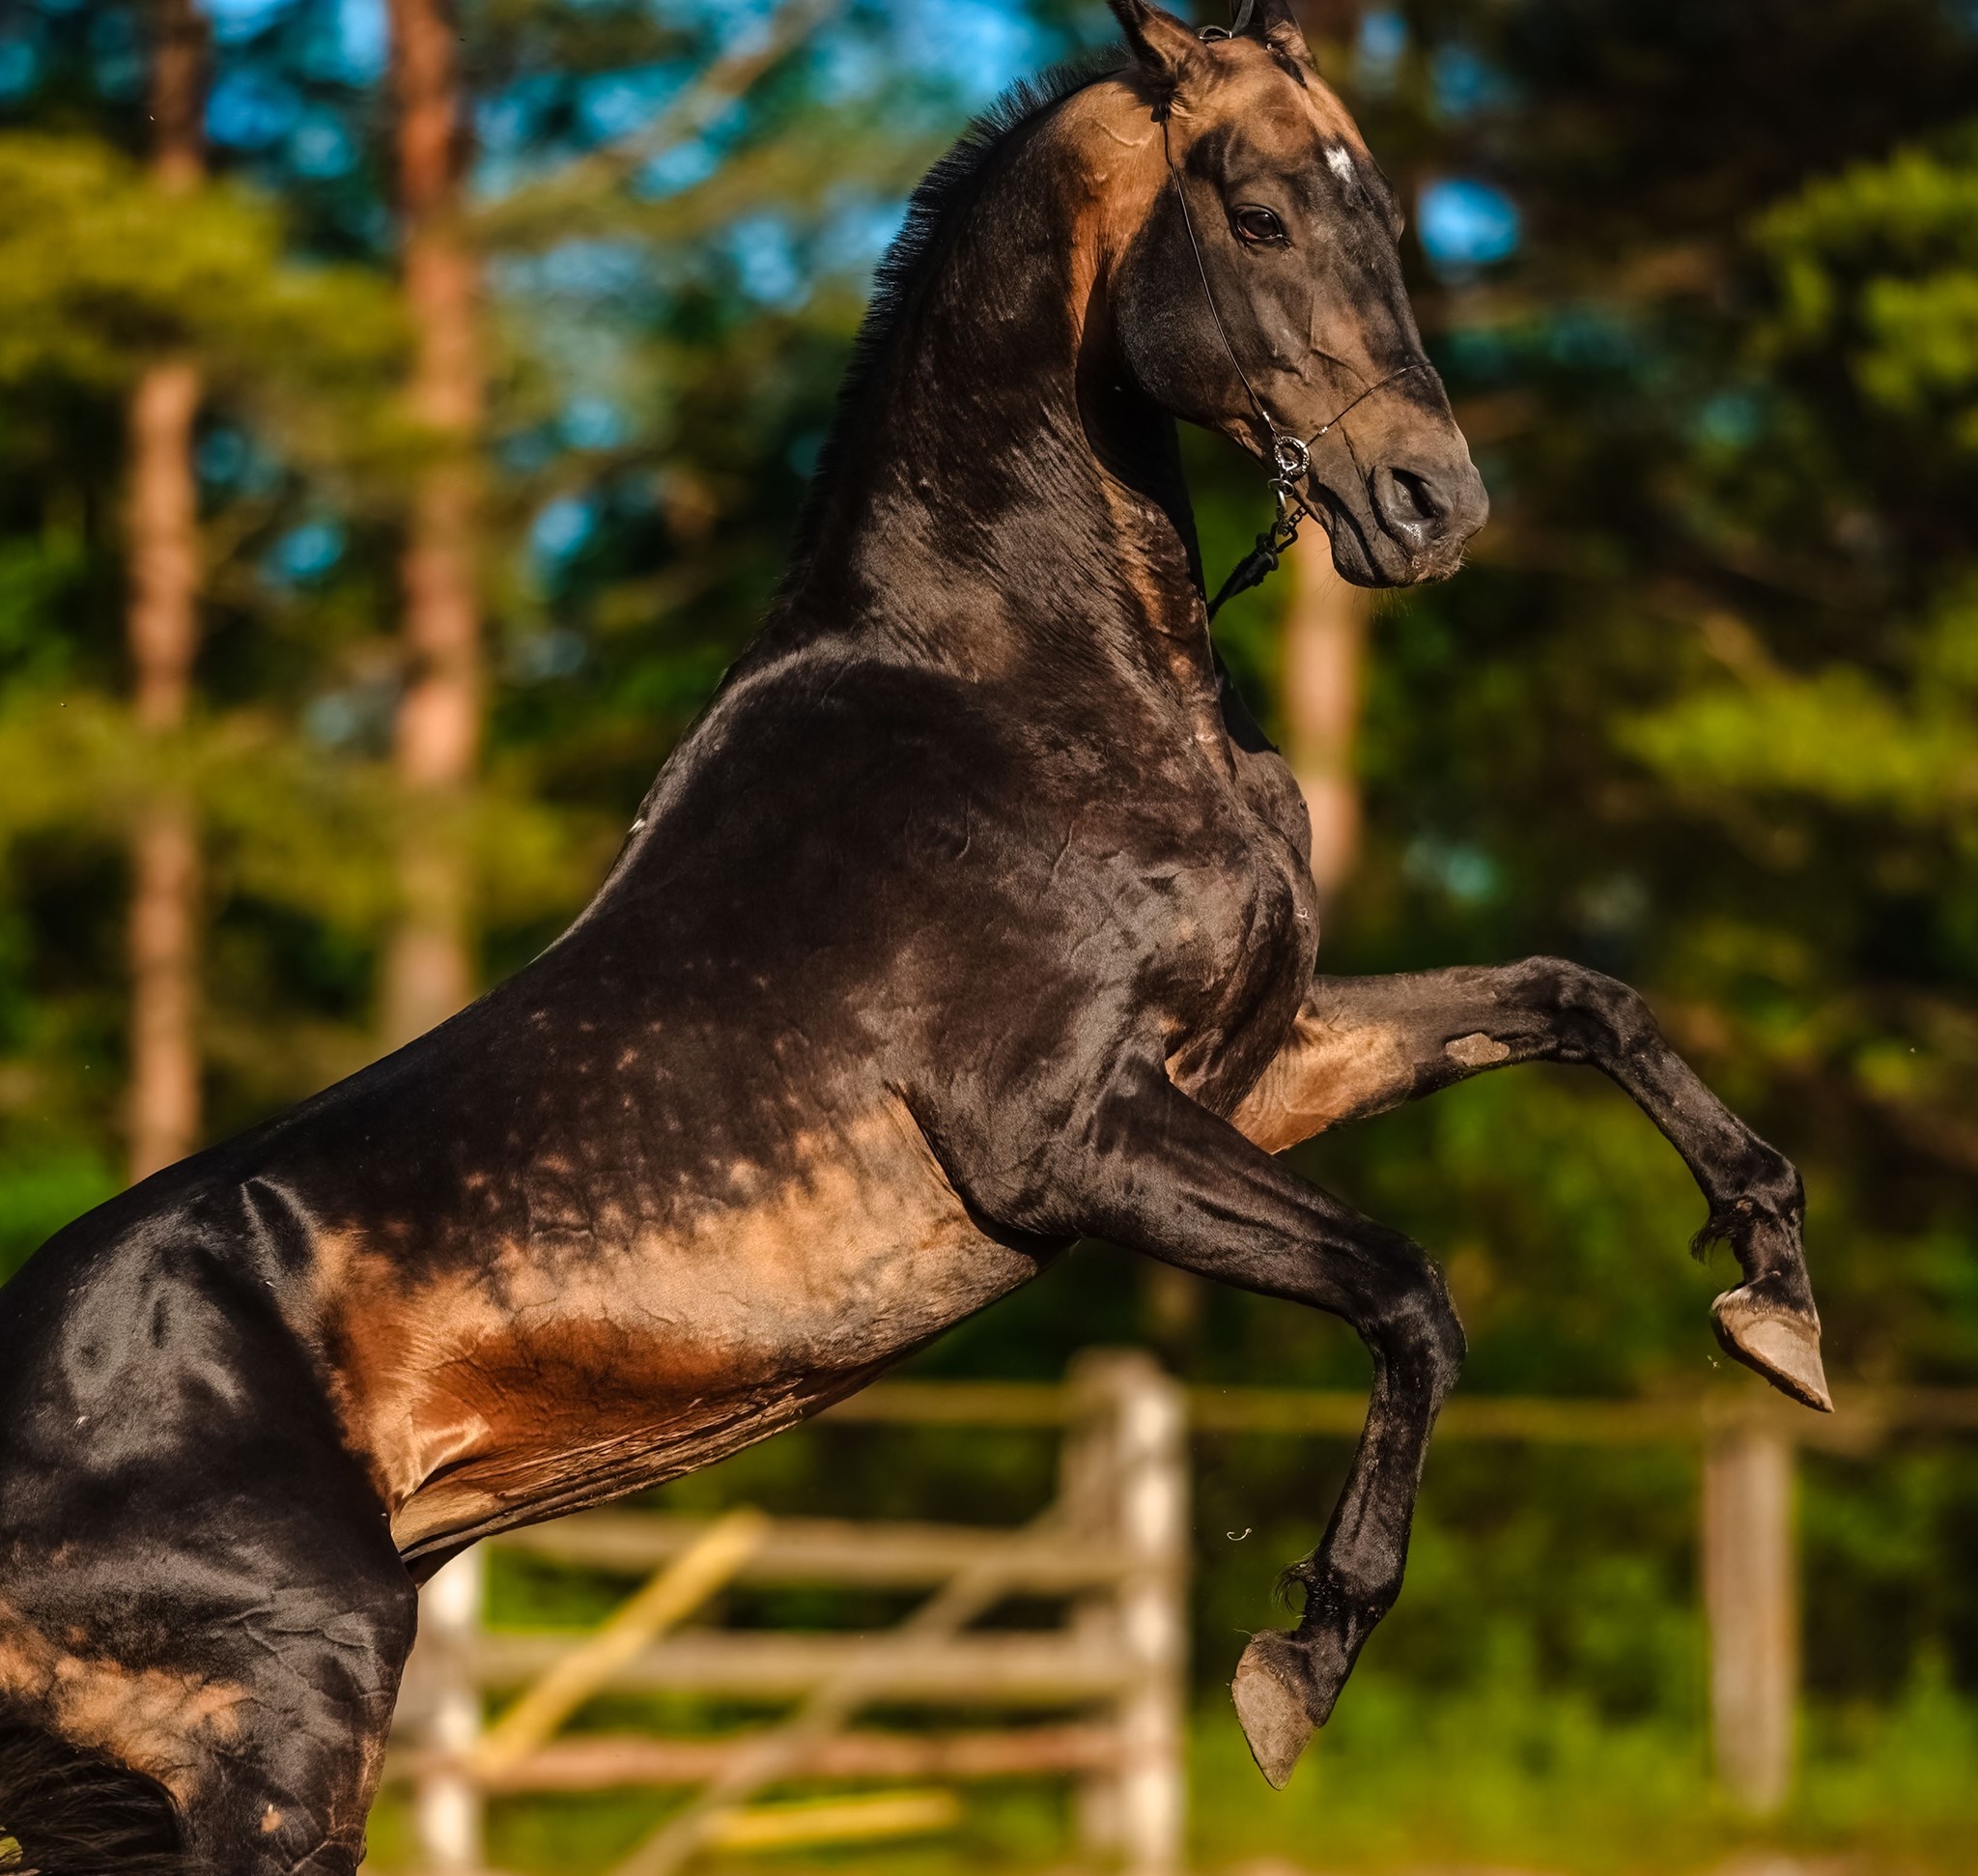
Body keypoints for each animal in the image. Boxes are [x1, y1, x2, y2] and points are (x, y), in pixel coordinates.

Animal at [0, 2, 1830, 1868]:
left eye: (1381, 211)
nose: (1430, 504)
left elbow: (1571, 998)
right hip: (287, 1734)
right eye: (1255, 214)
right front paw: (1295, 1667)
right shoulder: (1065, 1138)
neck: (1022, 685)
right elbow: (1410, 1289)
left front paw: (1775, 1303)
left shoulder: (1255, 1068)